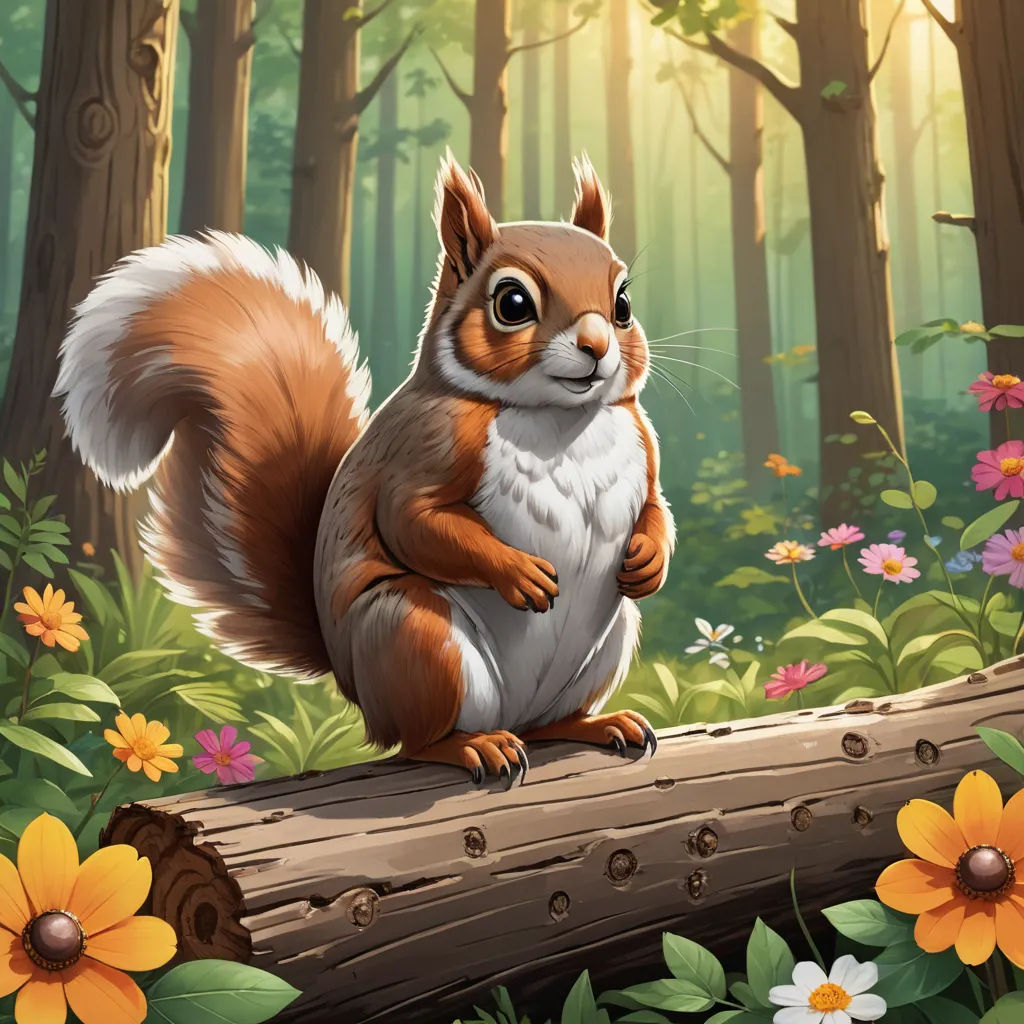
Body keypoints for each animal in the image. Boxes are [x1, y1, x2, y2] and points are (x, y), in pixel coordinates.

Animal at [54, 153, 675, 787]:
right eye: (513, 304)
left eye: (622, 304)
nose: (597, 345)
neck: (559, 421)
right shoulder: (425, 451)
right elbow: (414, 523)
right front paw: (519, 572)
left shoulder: (644, 446)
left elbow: (655, 508)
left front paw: (649, 560)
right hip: (413, 638)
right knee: (417, 741)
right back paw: (471, 746)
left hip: (603, 647)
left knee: (548, 722)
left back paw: (597, 723)